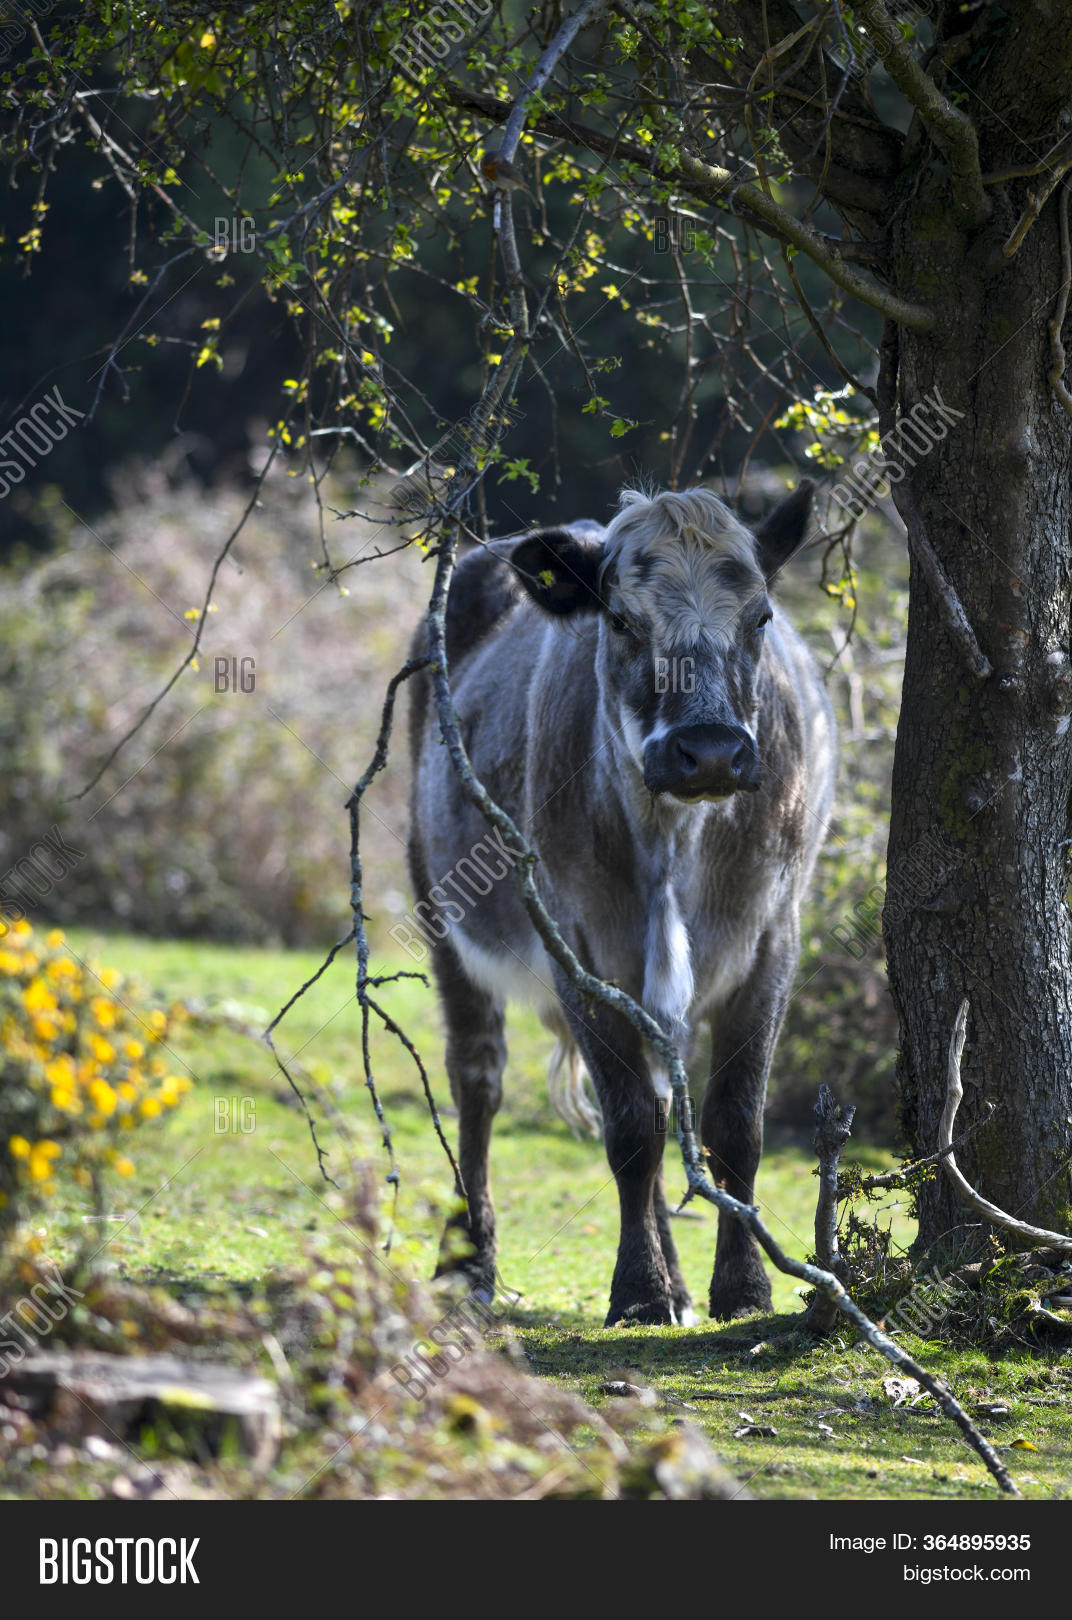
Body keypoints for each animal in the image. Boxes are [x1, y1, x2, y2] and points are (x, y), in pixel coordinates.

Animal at [406, 480, 837, 1325]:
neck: (673, 836)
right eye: (622, 621)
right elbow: (632, 1128)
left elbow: (736, 1122)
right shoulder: (574, 943)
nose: (710, 751)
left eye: (760, 617)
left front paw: (741, 1288)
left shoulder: (773, 936)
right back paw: (468, 1261)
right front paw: (639, 1290)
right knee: (478, 1080)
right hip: (438, 906)